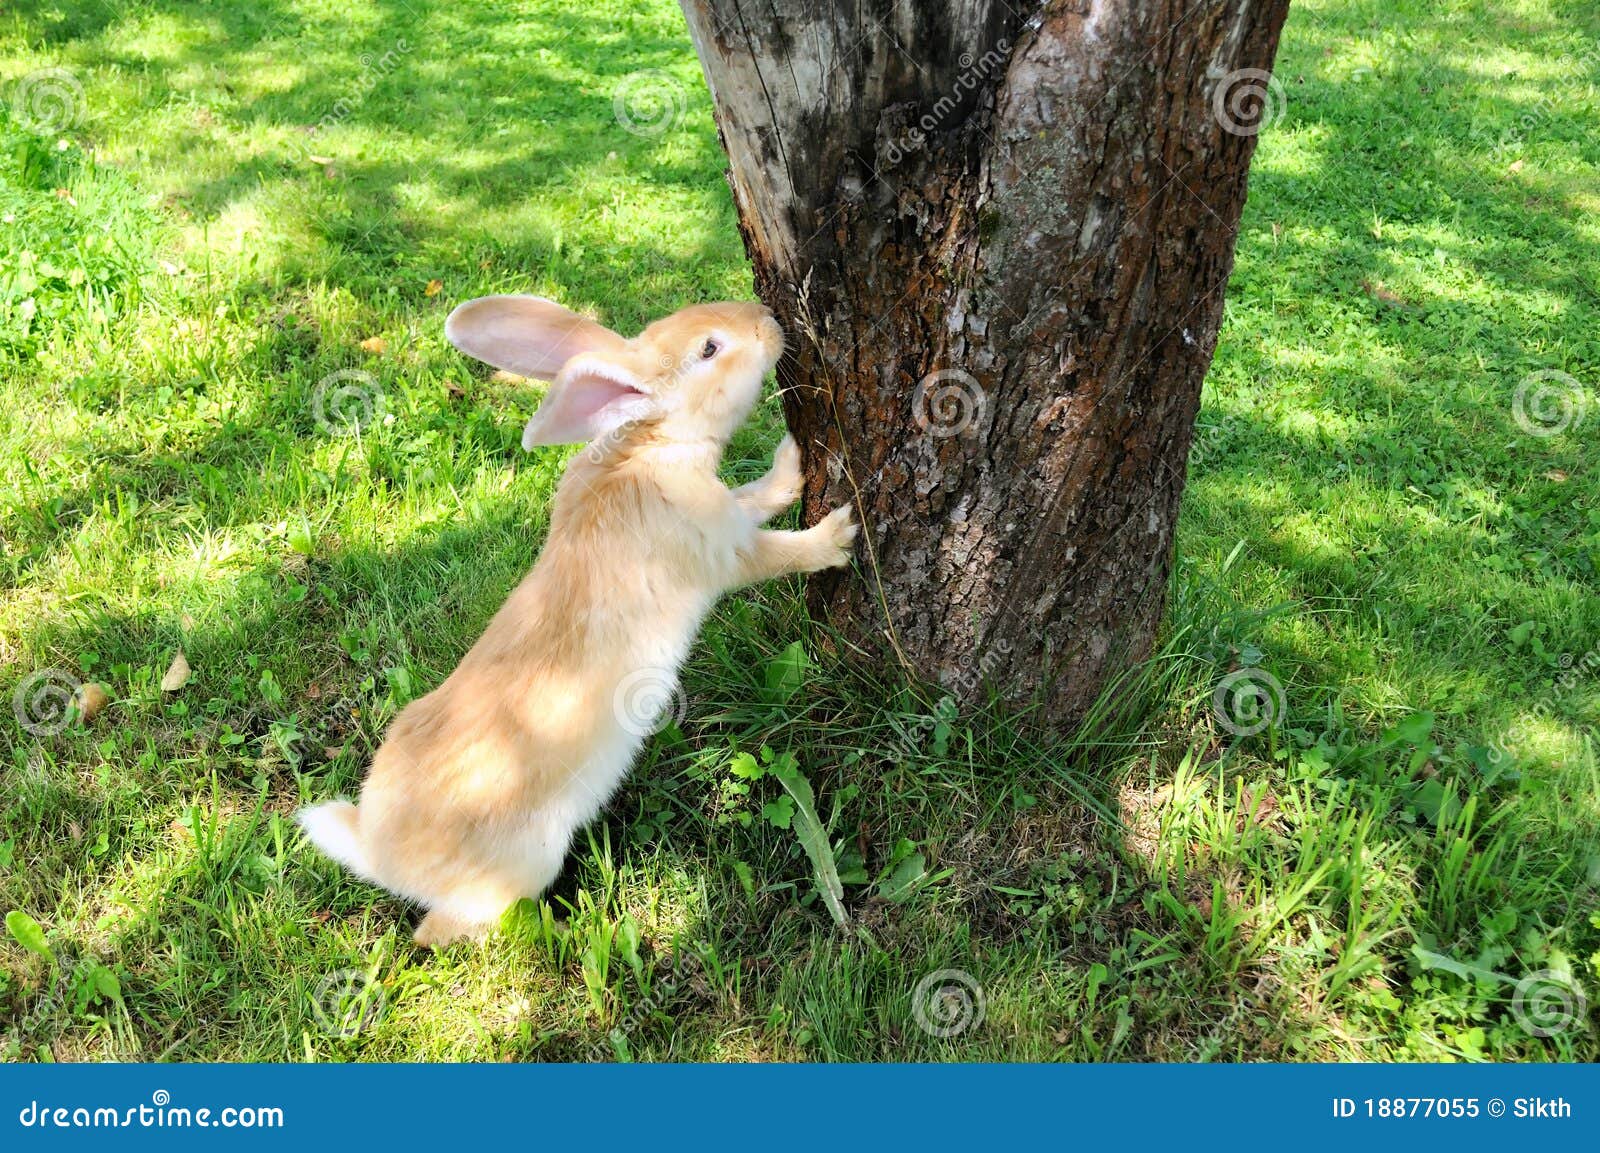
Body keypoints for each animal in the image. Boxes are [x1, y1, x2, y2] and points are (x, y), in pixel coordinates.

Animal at [298, 295, 857, 947]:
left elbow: (756, 495)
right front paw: (837, 535)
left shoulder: (730, 511)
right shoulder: (723, 551)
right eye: (710, 349)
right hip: (524, 863)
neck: (649, 445)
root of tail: (378, 855)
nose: (768, 319)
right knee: (446, 932)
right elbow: (777, 553)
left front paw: (790, 462)